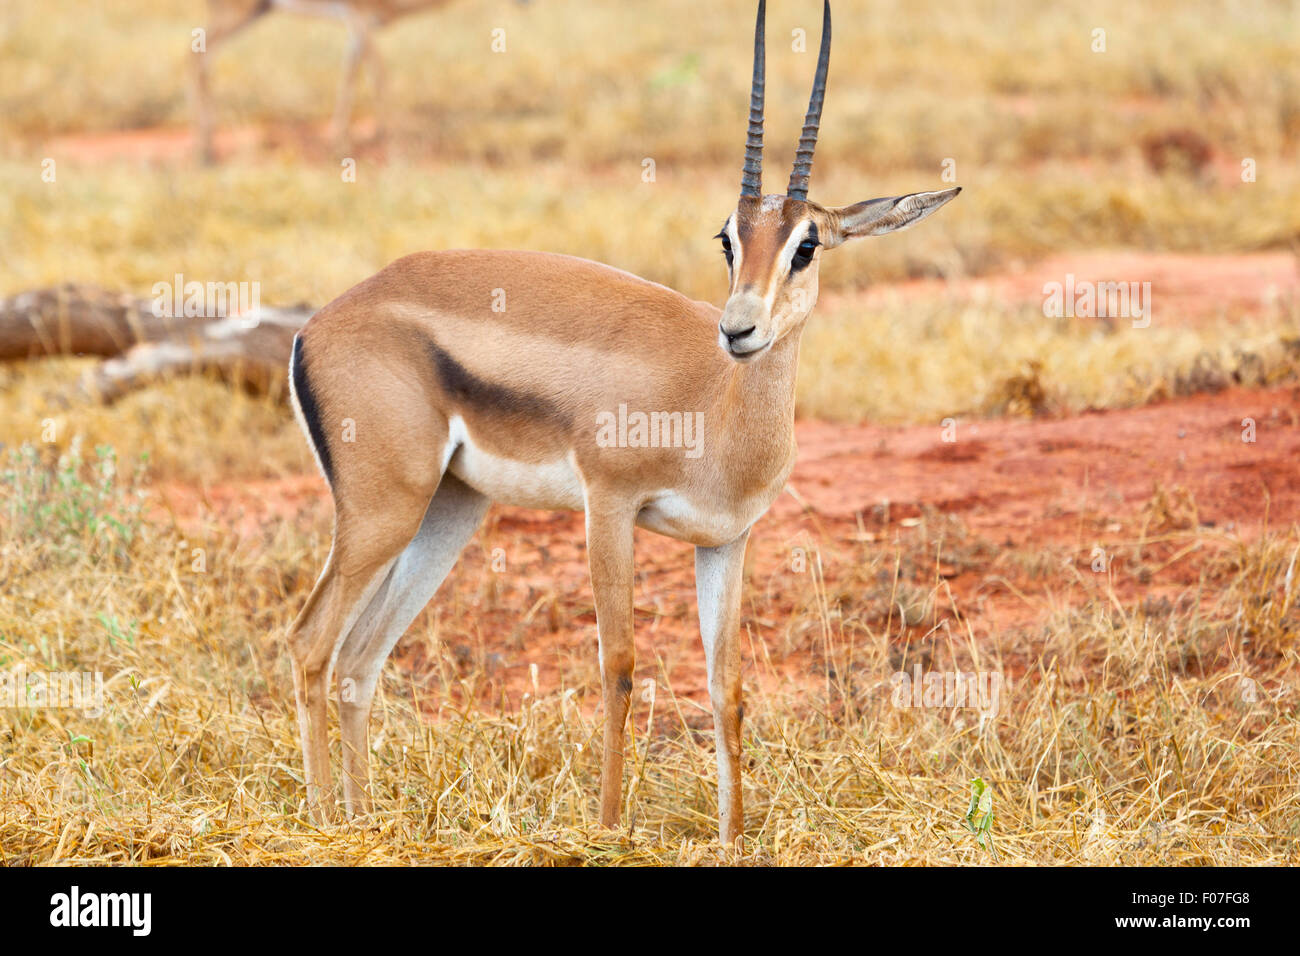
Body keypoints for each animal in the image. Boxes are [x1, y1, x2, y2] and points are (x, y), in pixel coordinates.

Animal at [286, 0, 959, 846]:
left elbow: (727, 686)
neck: (714, 406)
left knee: (358, 659)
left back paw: (366, 820)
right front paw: (607, 828)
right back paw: (320, 821)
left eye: (806, 245)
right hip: (383, 511)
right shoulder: (609, 505)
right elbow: (620, 666)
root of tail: (321, 322)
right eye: (728, 238)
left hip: (448, 509)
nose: (739, 329)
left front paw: (732, 836)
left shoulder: (727, 540)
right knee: (311, 643)